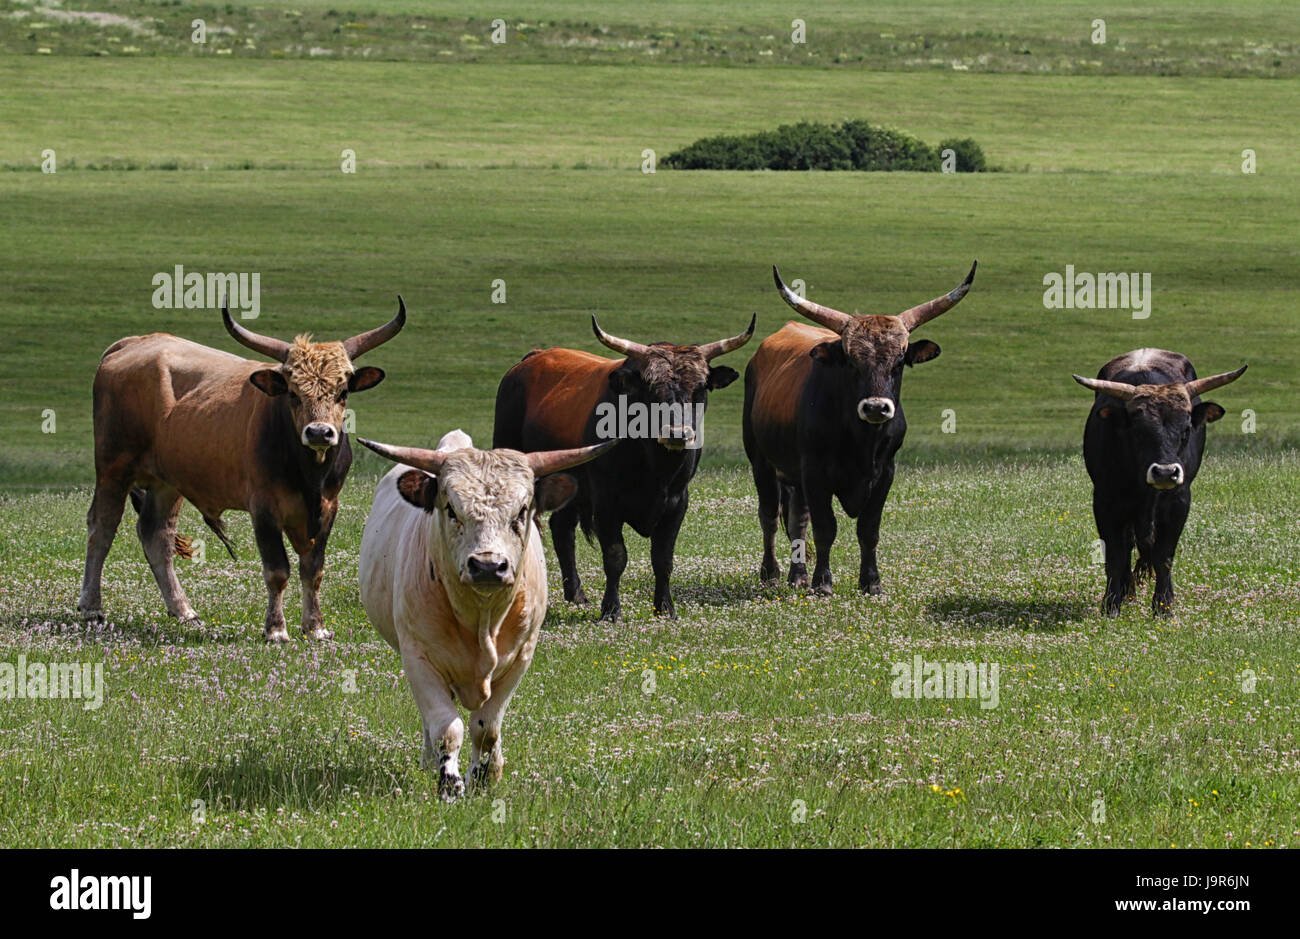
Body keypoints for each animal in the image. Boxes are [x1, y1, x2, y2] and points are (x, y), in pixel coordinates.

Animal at [78, 299, 406, 641]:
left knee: (156, 535)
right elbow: (277, 570)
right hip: (113, 468)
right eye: (292, 392)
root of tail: (133, 342)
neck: (309, 477)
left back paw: (184, 611)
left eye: (343, 392)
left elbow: (313, 569)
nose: (319, 432)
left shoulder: (329, 507)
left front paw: (315, 627)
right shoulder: (263, 508)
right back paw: (91, 607)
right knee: (102, 528)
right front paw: (276, 629)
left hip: (166, 484)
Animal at [357, 430, 614, 799]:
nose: (489, 566)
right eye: (451, 509)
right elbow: (446, 728)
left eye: (522, 511)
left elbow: (486, 727)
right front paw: (450, 784)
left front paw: (482, 777)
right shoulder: (418, 658)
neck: (481, 619)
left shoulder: (521, 657)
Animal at [492, 316, 755, 622]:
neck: (655, 467)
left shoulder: (678, 502)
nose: (677, 433)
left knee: (562, 529)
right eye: (651, 390)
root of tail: (532, 358)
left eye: (700, 388)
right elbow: (616, 557)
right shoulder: (606, 504)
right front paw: (611, 610)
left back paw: (576, 594)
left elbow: (663, 558)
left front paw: (665, 608)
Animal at [743, 262, 977, 595]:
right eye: (852, 362)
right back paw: (771, 573)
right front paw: (823, 583)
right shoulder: (815, 472)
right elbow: (825, 528)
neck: (861, 441)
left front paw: (871, 583)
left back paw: (798, 576)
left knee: (797, 519)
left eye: (899, 362)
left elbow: (868, 529)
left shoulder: (885, 472)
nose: (876, 408)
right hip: (760, 461)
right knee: (769, 517)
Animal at [1073, 349, 1246, 617]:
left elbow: (1164, 556)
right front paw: (1111, 604)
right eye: (1138, 431)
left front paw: (1164, 606)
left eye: (1186, 430)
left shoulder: (1179, 502)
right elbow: (1114, 555)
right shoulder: (1105, 501)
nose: (1165, 472)